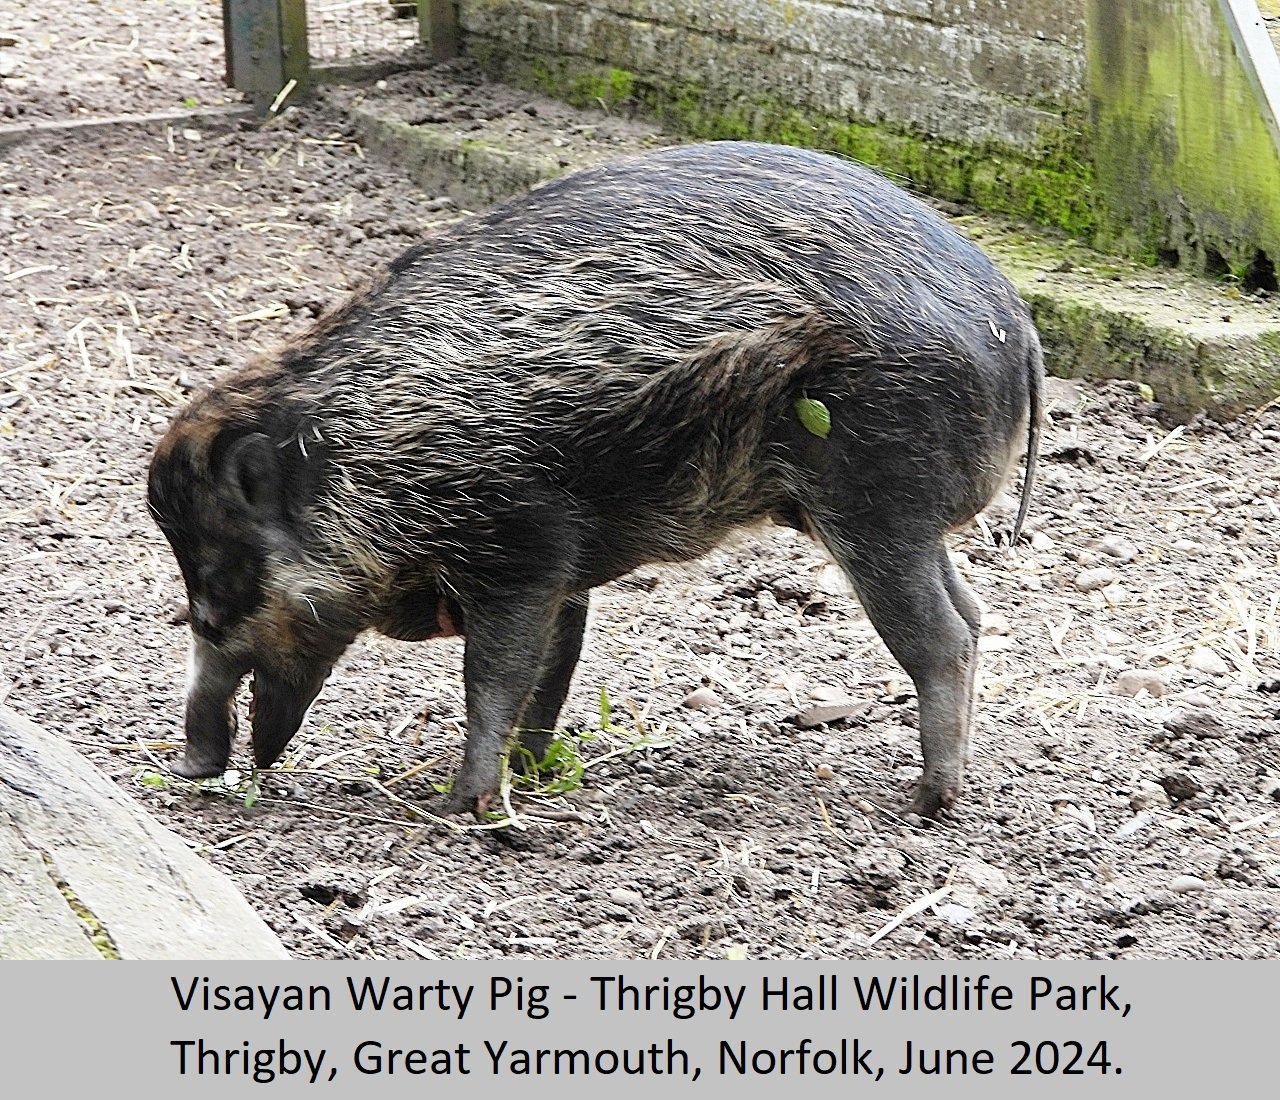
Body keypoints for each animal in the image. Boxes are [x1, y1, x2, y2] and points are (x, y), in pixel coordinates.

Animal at [147, 140, 1042, 818]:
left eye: (222, 569)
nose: (187, 763)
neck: (375, 451)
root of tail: (1015, 321)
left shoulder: (518, 546)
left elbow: (494, 677)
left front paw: (461, 805)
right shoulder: (565, 568)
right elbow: (553, 670)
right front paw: (533, 776)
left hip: (876, 498)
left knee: (944, 636)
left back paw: (927, 801)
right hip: (902, 518)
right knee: (975, 612)